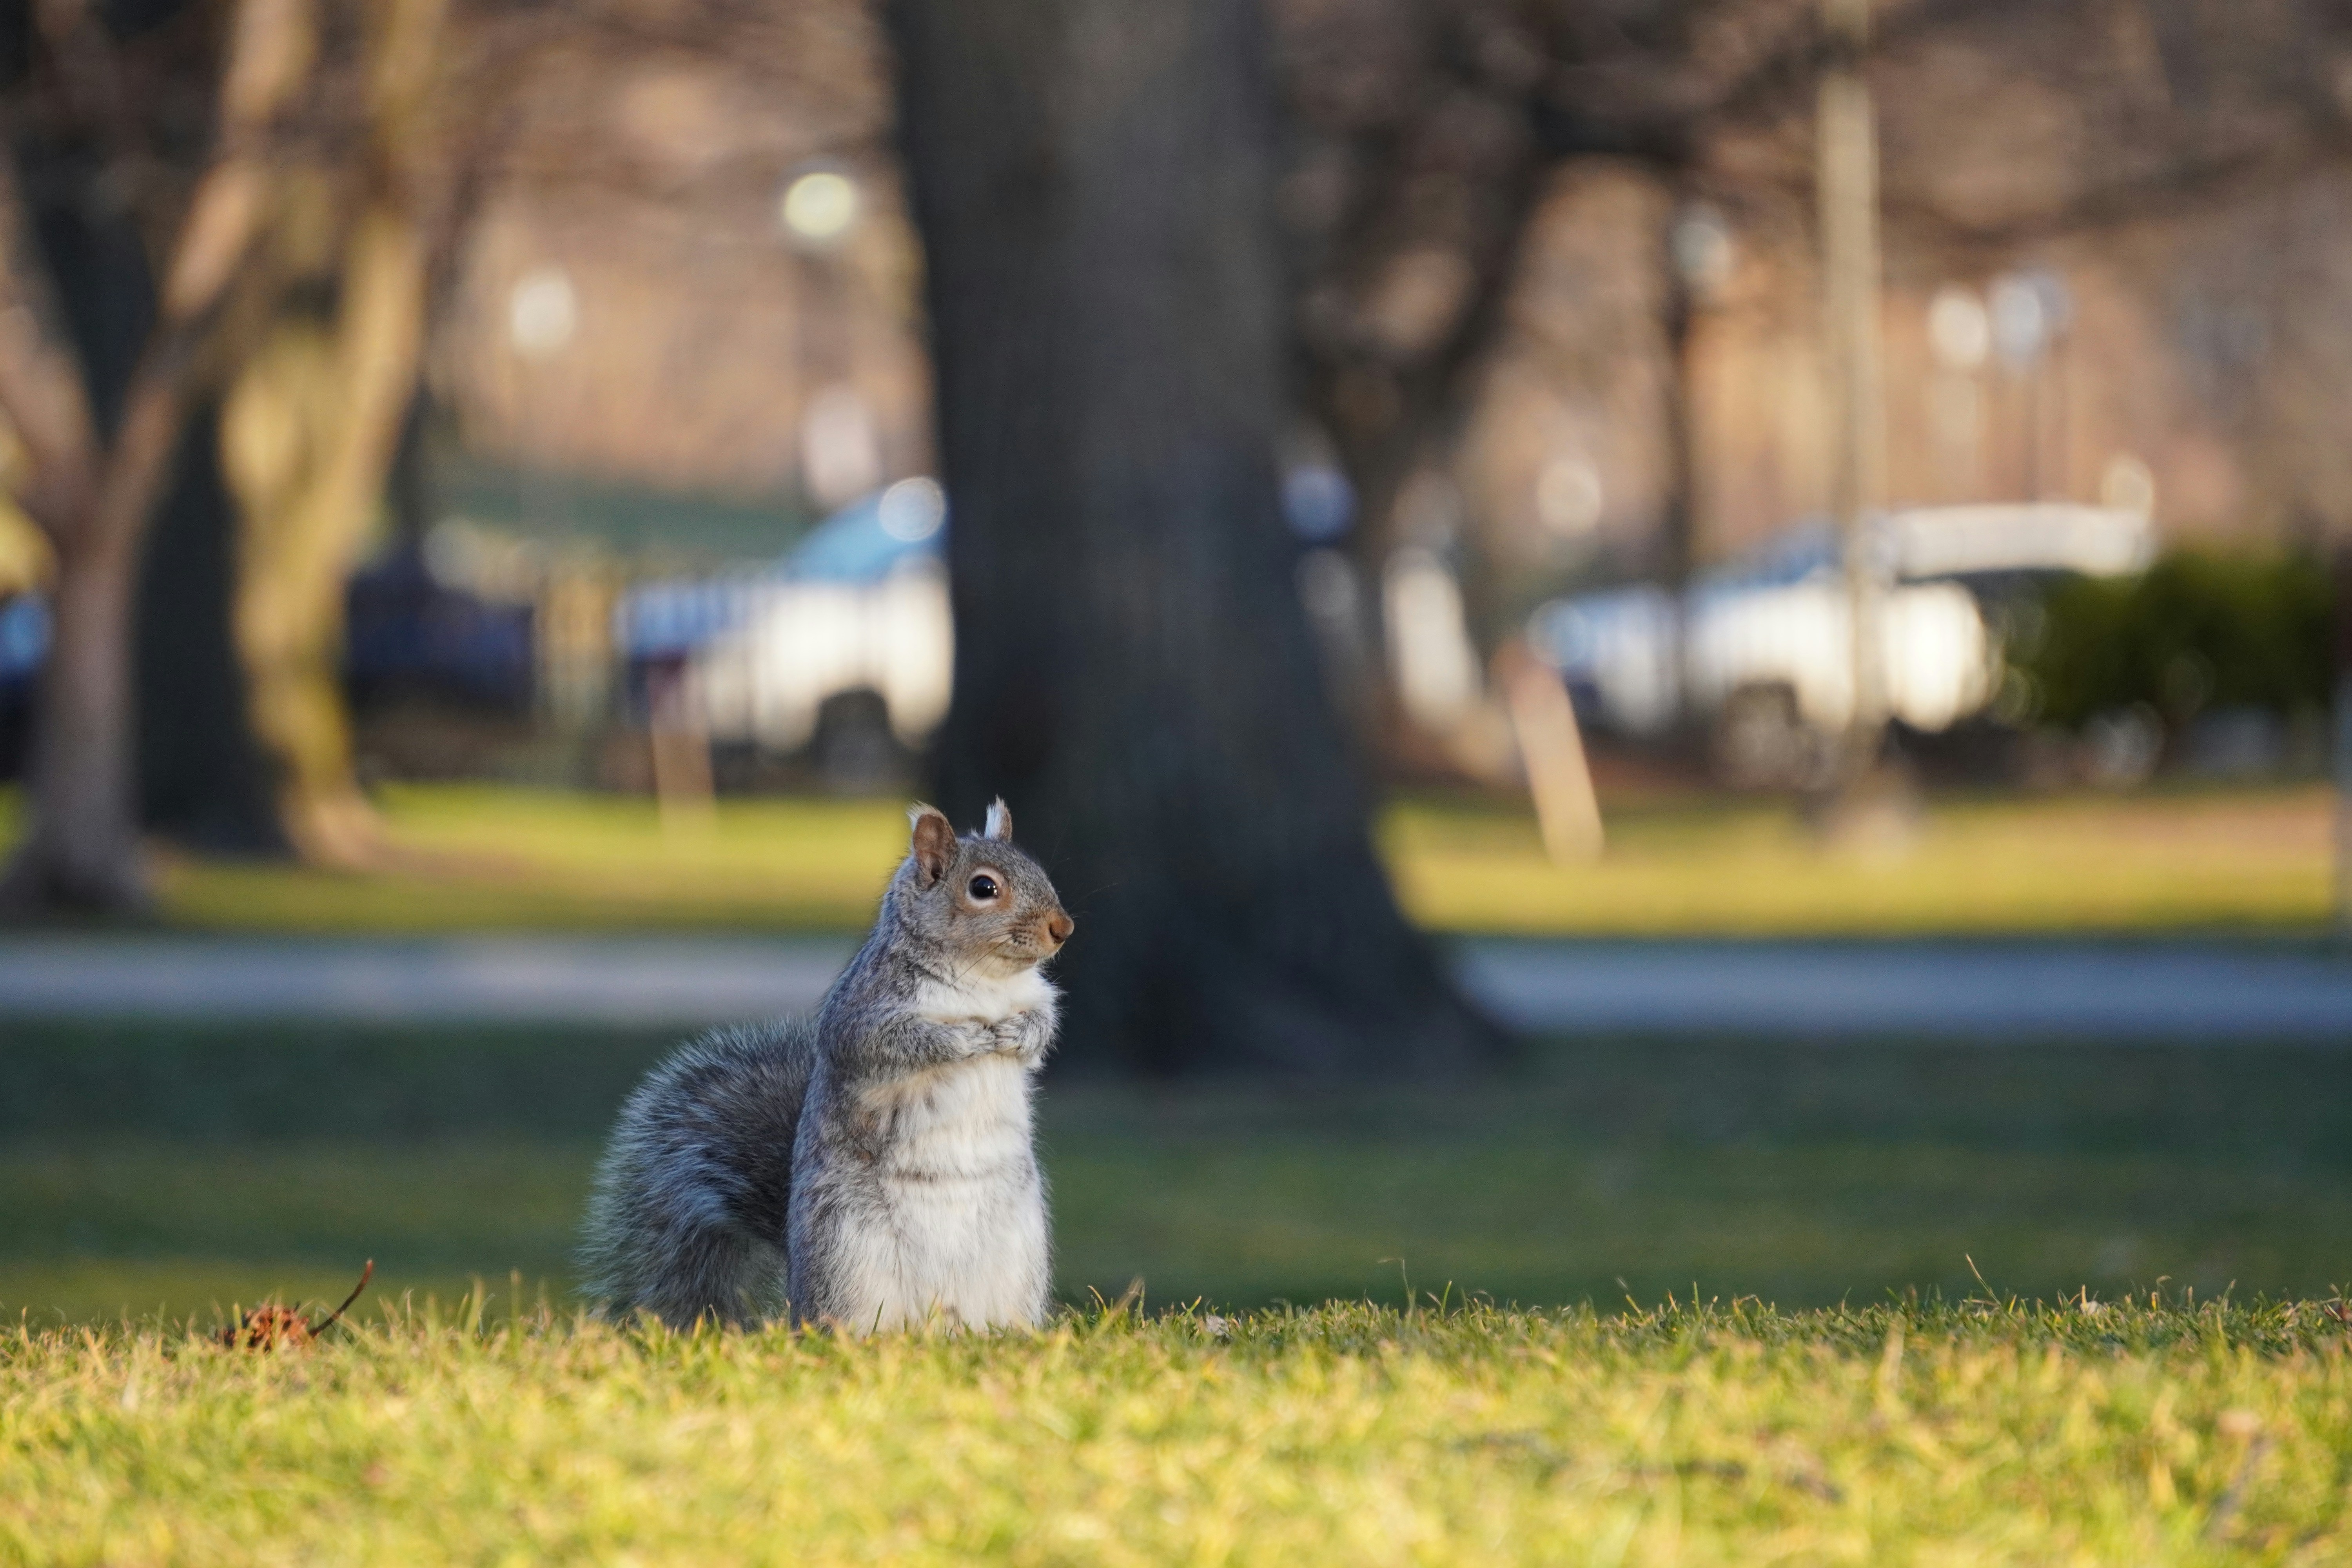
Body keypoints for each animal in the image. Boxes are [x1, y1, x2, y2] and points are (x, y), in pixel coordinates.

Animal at [578, 799, 1073, 1333]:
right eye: (984, 888)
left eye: (1038, 870)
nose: (1063, 929)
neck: (987, 977)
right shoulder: (862, 1016)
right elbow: (898, 1044)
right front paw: (966, 1038)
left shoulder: (1038, 998)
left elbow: (1044, 1026)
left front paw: (1018, 1034)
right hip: (848, 1252)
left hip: (1019, 1257)